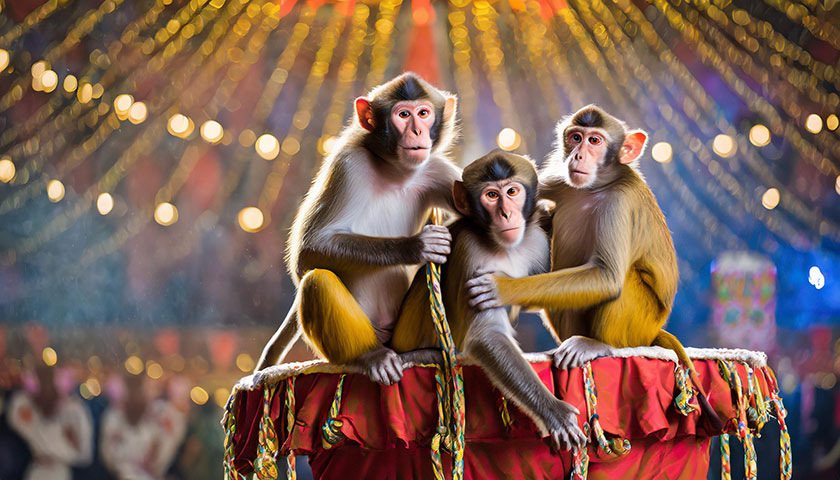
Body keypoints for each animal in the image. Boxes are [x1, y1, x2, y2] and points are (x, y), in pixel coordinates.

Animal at [254, 73, 461, 386]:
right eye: (403, 115)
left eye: (423, 113)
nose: (416, 132)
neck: (394, 172)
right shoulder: (348, 165)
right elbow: (309, 250)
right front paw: (417, 246)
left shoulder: (438, 171)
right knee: (317, 281)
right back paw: (370, 356)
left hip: (402, 337)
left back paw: (426, 352)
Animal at [391, 150, 588, 452]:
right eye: (492, 195)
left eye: (512, 191)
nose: (507, 214)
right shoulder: (472, 253)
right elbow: (488, 335)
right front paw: (554, 411)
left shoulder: (537, 241)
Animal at [465, 105, 721, 427]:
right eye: (575, 137)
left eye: (595, 141)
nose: (578, 155)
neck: (598, 186)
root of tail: (653, 333)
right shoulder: (558, 180)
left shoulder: (618, 204)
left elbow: (608, 276)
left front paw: (503, 288)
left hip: (642, 325)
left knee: (624, 281)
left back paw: (599, 345)